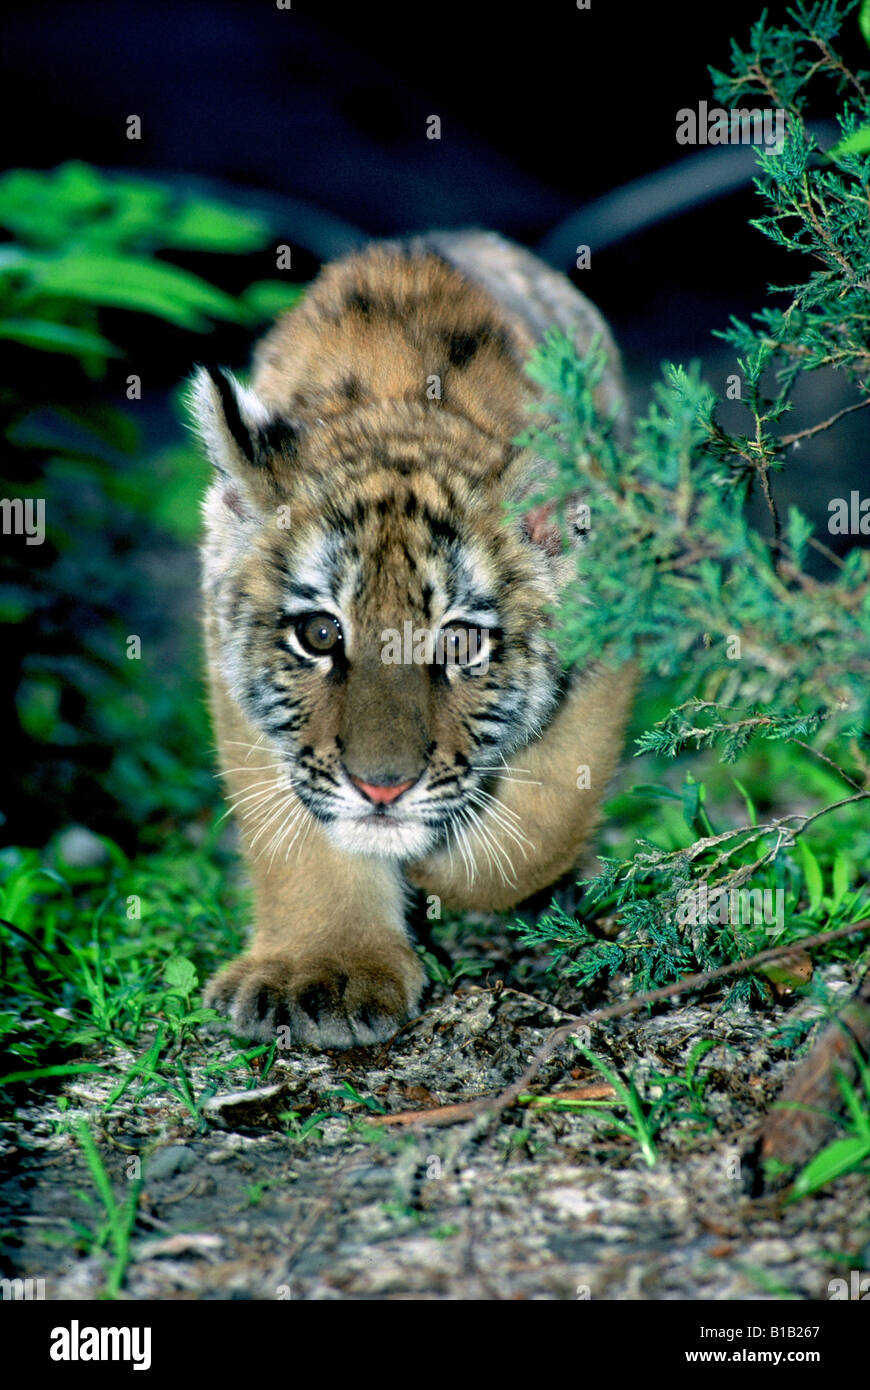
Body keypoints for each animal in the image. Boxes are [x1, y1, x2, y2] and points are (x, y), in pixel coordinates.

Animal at [190, 230, 635, 1048]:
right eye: (320, 633)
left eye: (459, 645)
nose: (382, 790)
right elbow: (294, 836)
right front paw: (322, 967)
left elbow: (544, 815)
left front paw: (442, 871)